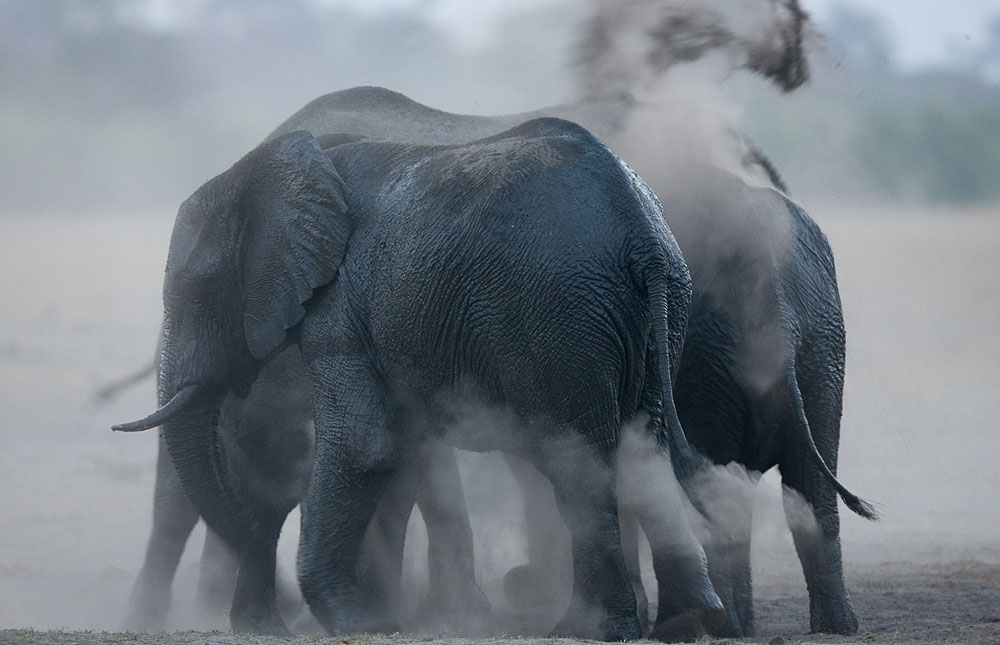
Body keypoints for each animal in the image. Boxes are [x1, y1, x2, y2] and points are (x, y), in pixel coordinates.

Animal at [114, 119, 724, 641]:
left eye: (198, 291)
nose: (274, 618)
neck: (283, 167)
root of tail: (642, 238)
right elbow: (399, 450)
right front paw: (375, 618)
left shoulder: (340, 305)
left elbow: (363, 446)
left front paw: (357, 623)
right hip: (655, 315)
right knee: (643, 452)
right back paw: (685, 623)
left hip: (560, 317)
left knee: (577, 461)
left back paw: (582, 630)